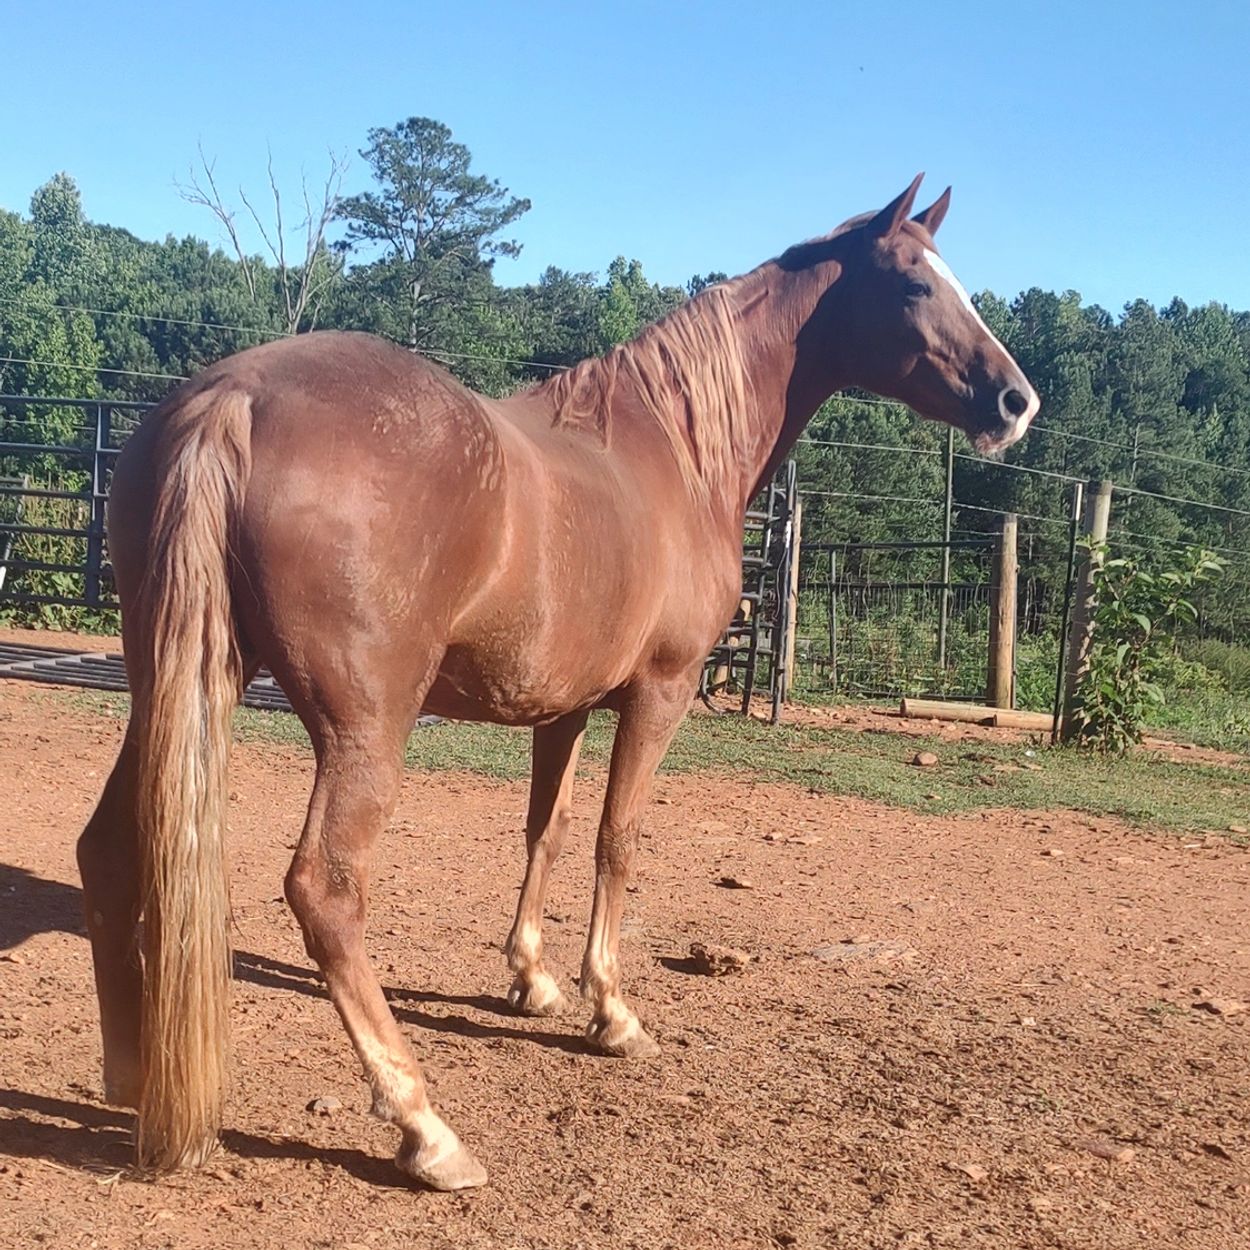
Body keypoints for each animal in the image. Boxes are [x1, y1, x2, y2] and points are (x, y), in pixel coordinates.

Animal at [76, 174, 1039, 1191]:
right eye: (912, 284)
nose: (1016, 399)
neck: (670, 452)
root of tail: (238, 397)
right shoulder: (660, 694)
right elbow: (618, 839)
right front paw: (611, 1009)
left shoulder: (563, 707)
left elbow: (549, 828)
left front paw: (531, 979)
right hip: (363, 730)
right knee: (325, 894)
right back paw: (425, 1127)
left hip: (180, 683)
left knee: (112, 846)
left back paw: (133, 1079)